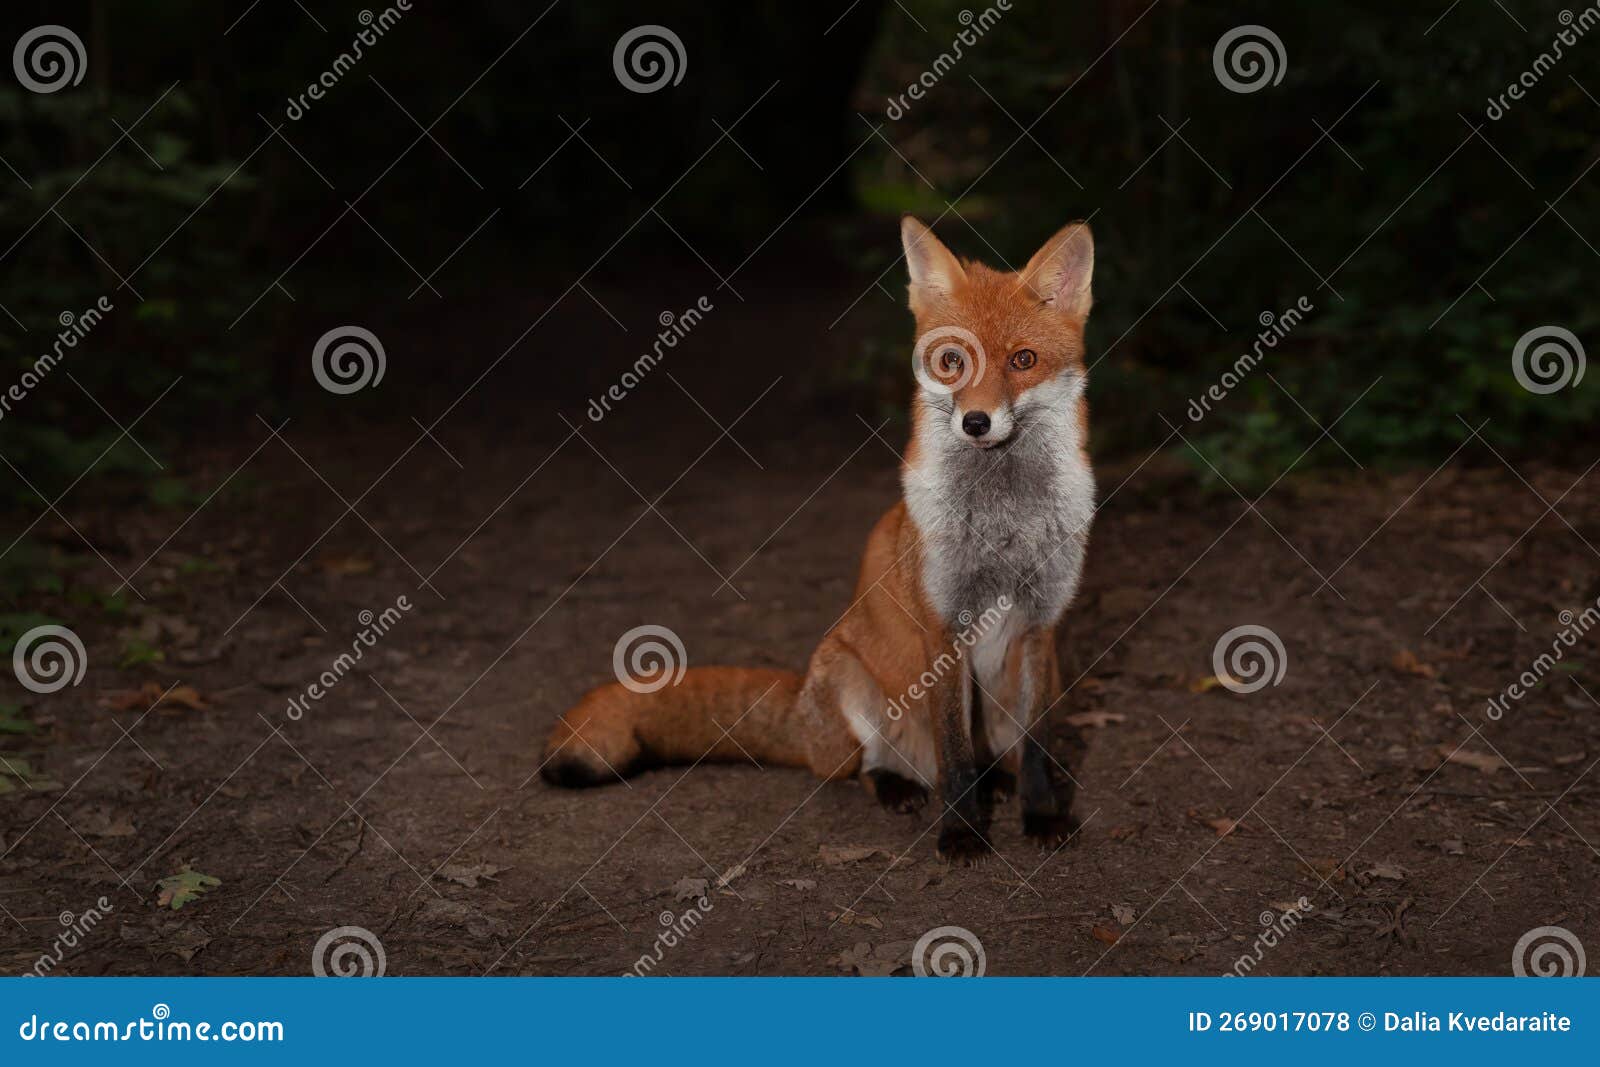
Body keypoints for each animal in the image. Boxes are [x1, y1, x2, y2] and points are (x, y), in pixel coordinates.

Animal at [542, 216, 1097, 863]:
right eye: (952, 361)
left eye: (1023, 359)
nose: (976, 422)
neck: (1003, 521)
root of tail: (804, 705)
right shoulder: (942, 628)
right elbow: (956, 756)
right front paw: (960, 833)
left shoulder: (1040, 625)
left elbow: (1036, 749)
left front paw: (1043, 817)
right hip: (849, 681)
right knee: (868, 768)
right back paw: (901, 788)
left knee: (998, 754)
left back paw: (999, 783)